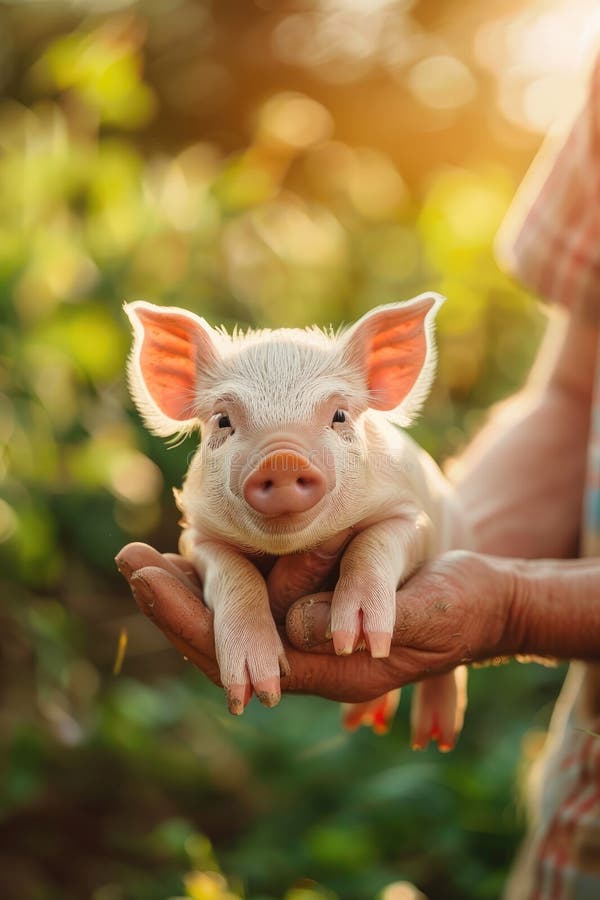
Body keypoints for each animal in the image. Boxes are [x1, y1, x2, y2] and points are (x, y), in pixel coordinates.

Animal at [125, 294, 469, 750]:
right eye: (223, 420)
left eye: (339, 415)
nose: (282, 458)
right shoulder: (197, 534)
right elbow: (234, 573)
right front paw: (258, 690)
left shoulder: (413, 515)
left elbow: (374, 541)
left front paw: (357, 641)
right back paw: (366, 724)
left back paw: (434, 741)